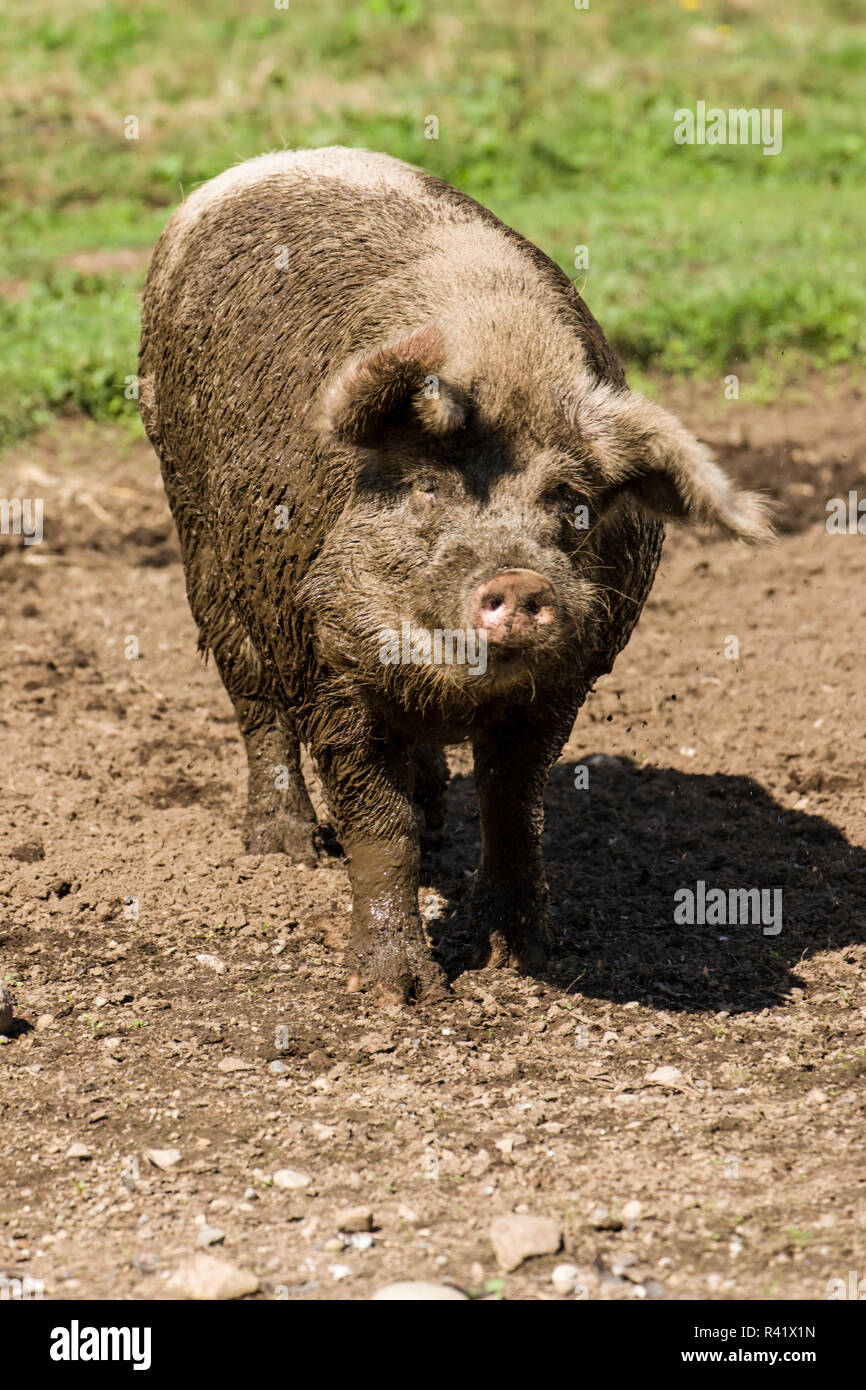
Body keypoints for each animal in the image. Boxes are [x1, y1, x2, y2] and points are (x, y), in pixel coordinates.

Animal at [138, 147, 771, 1004]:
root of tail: (258, 165)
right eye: (430, 488)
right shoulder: (330, 668)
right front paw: (399, 992)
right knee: (253, 697)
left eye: (570, 504)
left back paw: (435, 817)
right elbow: (381, 826)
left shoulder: (565, 681)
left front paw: (525, 959)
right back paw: (283, 849)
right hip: (200, 534)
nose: (522, 582)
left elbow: (513, 803)